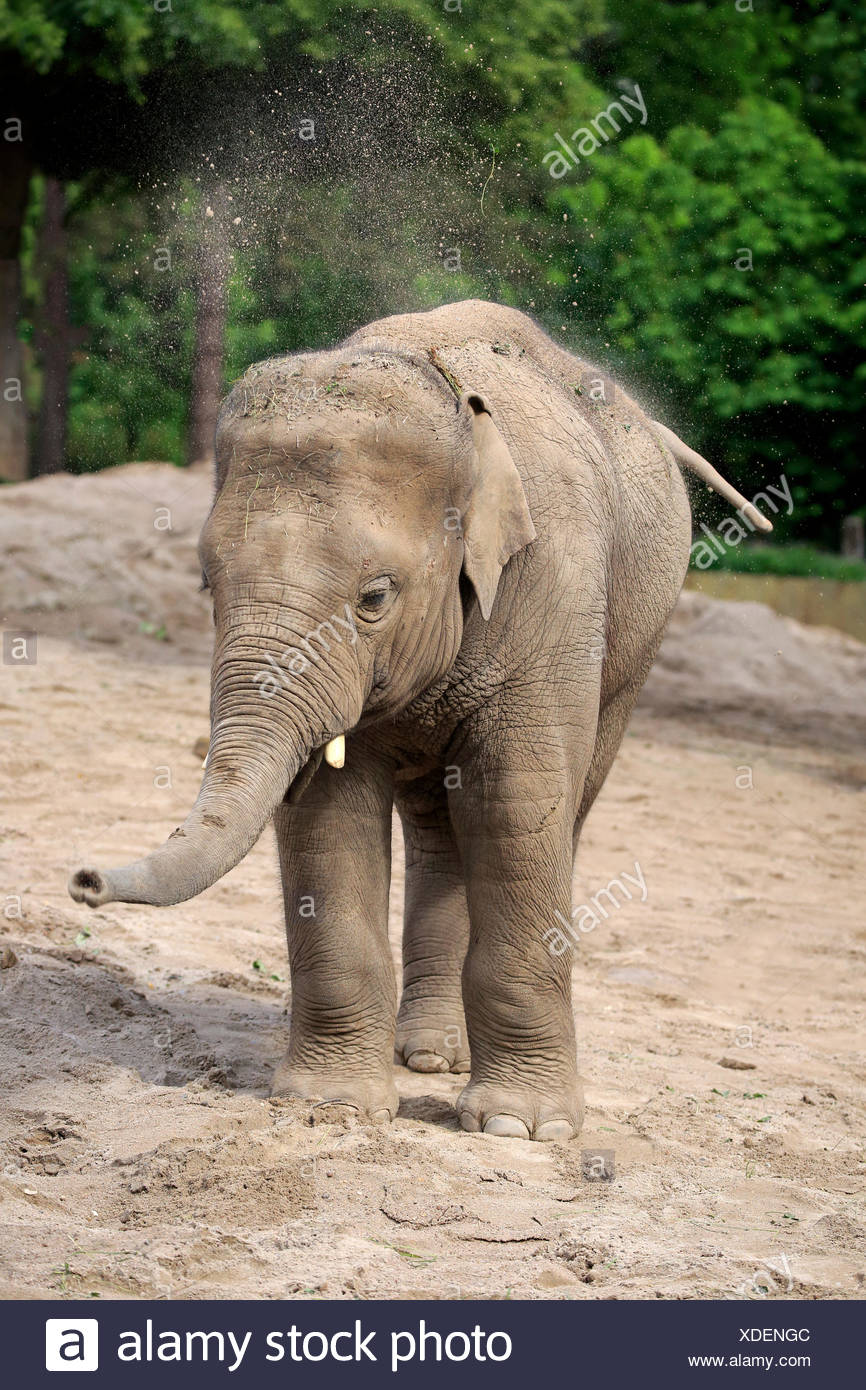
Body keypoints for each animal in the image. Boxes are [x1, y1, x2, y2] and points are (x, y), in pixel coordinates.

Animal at [69, 299, 771, 1141]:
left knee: (550, 807)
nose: (83, 879)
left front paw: (522, 1129)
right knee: (441, 830)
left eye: (375, 597)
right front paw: (332, 1105)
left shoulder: (552, 591)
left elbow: (517, 800)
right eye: (207, 582)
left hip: (638, 642)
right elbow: (325, 812)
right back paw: (430, 1057)